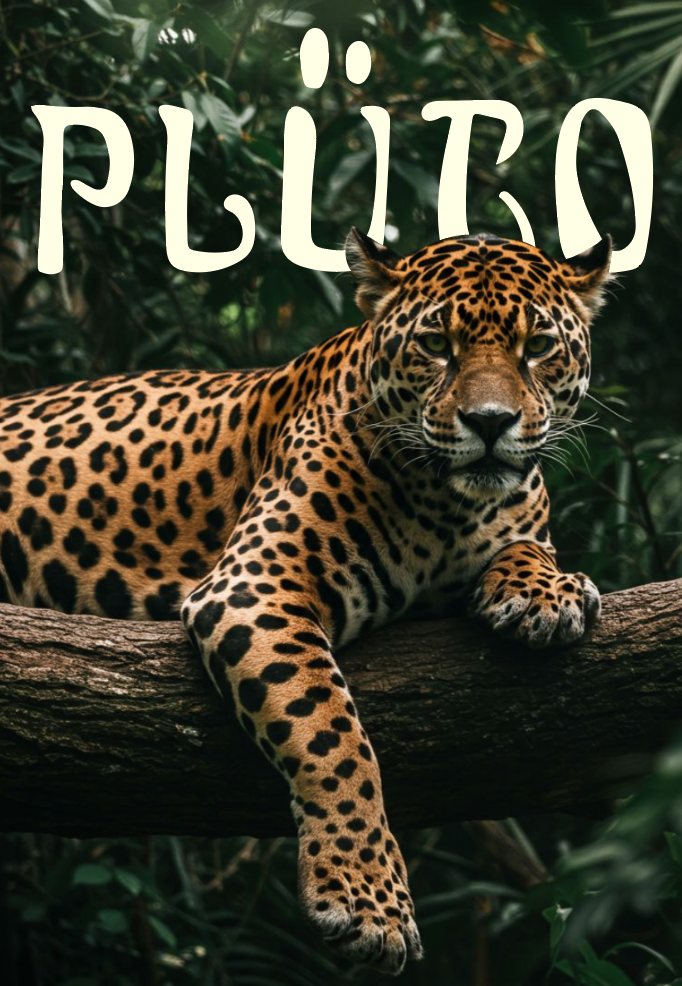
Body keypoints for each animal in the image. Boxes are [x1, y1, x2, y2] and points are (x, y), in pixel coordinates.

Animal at [0, 228, 612, 974]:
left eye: (539, 346)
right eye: (436, 344)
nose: (490, 422)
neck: (446, 508)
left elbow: (529, 544)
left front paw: (544, 592)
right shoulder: (255, 584)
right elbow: (332, 734)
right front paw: (366, 898)